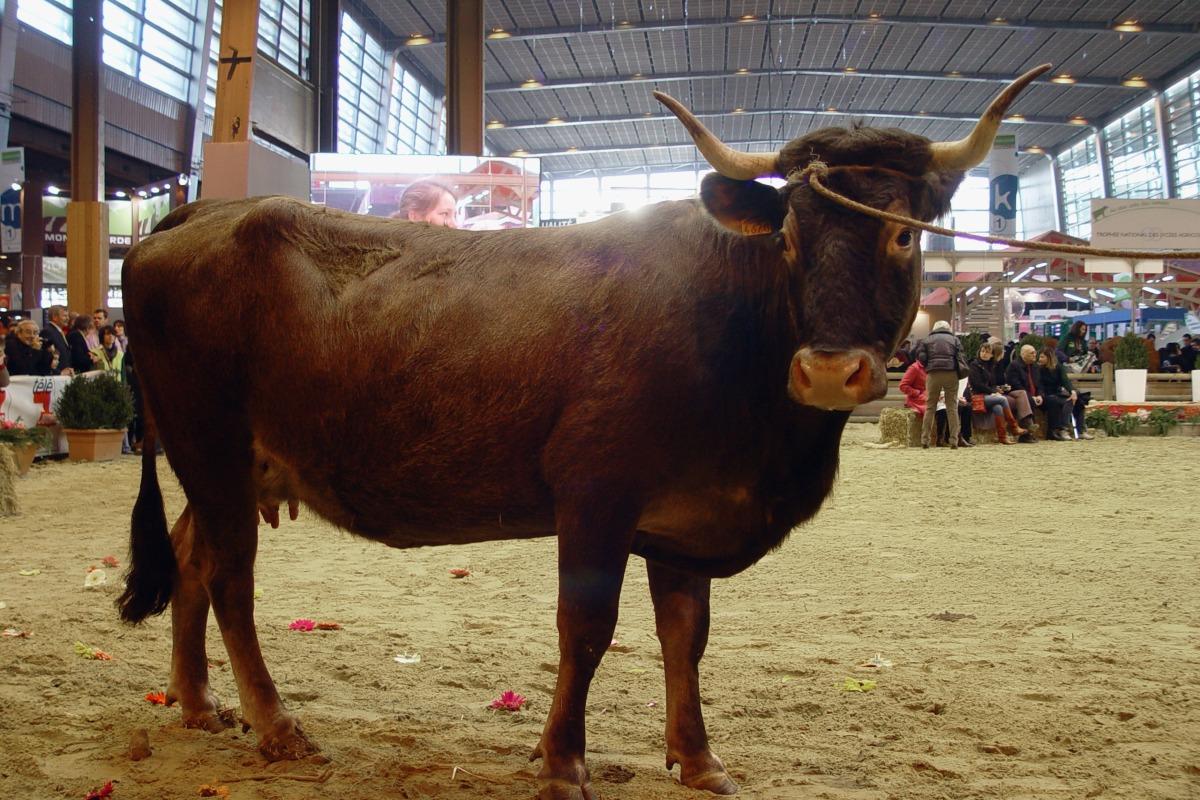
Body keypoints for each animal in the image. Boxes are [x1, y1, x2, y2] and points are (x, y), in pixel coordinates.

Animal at [117, 65, 1049, 800]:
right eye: (789, 235)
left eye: (900, 234)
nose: (828, 373)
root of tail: (204, 212)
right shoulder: (596, 493)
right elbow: (587, 629)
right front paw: (563, 762)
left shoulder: (686, 517)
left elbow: (686, 637)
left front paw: (698, 758)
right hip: (210, 445)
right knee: (230, 578)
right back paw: (276, 726)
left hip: (231, 464)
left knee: (192, 558)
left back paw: (198, 704)